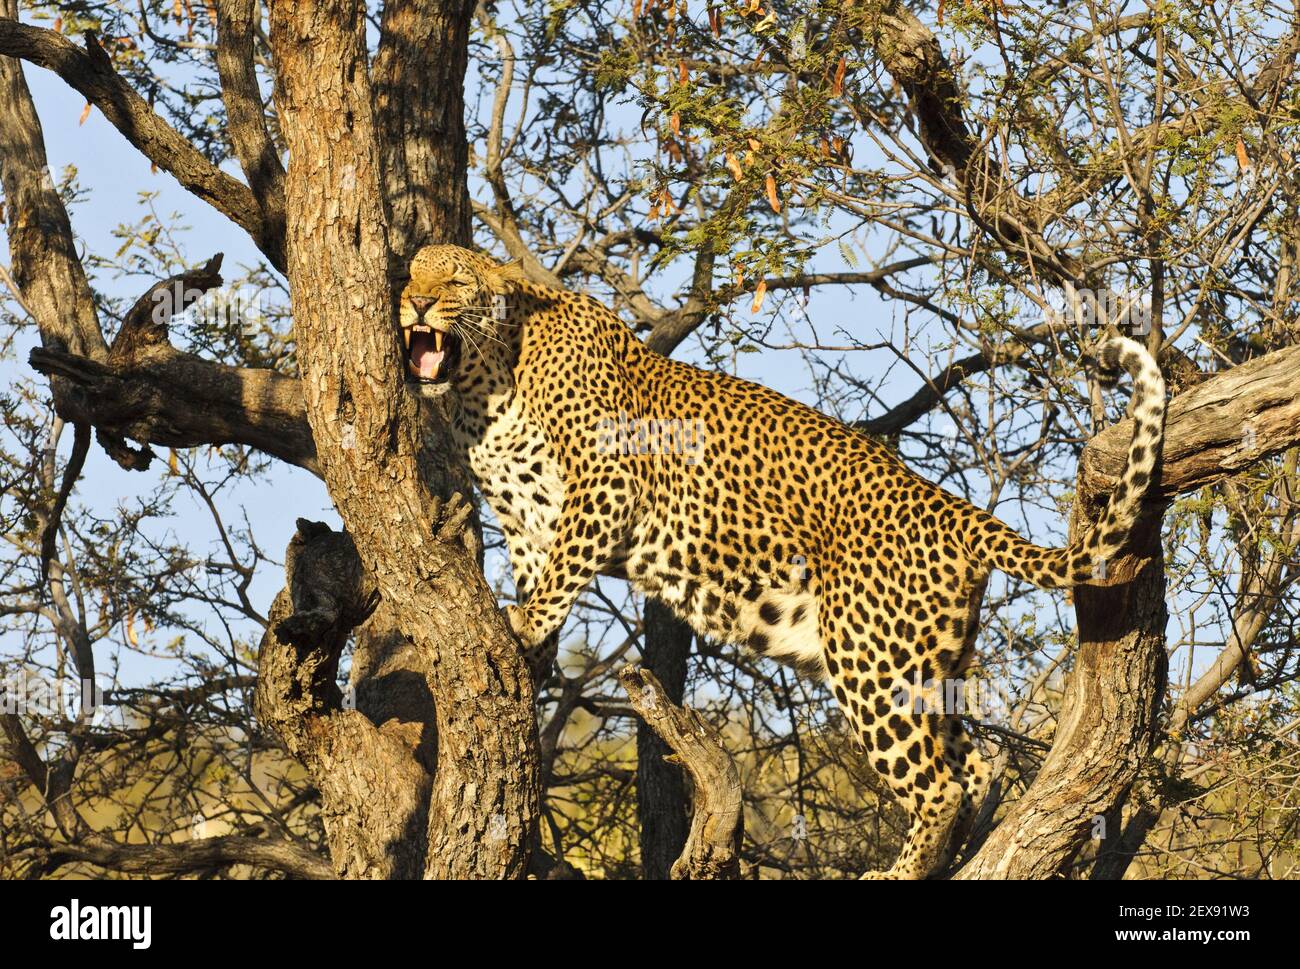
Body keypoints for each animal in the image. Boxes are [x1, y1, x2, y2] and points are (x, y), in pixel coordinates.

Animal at [397, 244, 1166, 879]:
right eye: (410, 276)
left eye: (454, 281)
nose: (416, 305)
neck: (484, 387)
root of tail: (953, 508)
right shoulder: (521, 518)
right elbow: (542, 573)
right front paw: (531, 652)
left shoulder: (605, 484)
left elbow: (562, 571)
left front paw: (524, 627)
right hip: (924, 661)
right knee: (975, 765)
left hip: (871, 660)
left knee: (941, 783)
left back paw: (900, 872)